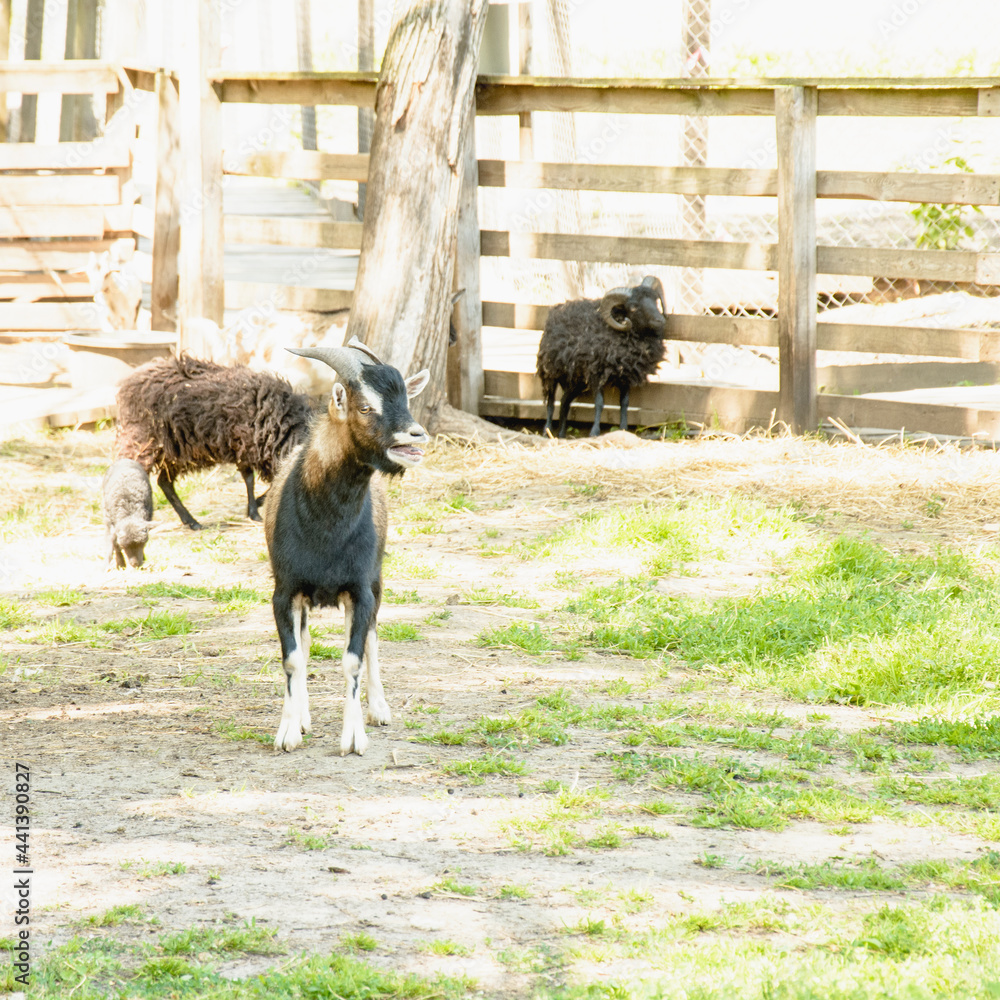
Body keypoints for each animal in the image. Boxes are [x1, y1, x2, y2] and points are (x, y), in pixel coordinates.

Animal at [115, 355, 315, 530]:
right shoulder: (243, 445)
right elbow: (249, 479)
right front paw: (254, 510)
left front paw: (258, 503)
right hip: (143, 440)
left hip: (174, 451)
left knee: (164, 483)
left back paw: (191, 522)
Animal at [263, 337, 429, 755]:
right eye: (365, 406)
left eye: (406, 398)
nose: (416, 436)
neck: (326, 528)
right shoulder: (285, 591)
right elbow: (293, 658)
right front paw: (288, 730)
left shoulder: (360, 590)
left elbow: (354, 657)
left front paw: (354, 736)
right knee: (306, 641)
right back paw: (303, 715)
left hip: (376, 583)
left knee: (371, 637)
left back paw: (379, 708)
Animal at [536, 275, 669, 438]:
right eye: (633, 307)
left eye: (655, 300)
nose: (660, 320)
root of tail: (556, 311)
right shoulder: (596, 374)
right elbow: (599, 403)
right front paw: (594, 432)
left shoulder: (626, 375)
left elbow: (625, 402)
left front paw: (623, 428)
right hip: (550, 371)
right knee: (550, 402)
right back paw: (547, 431)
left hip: (576, 380)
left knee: (564, 402)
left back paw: (561, 434)